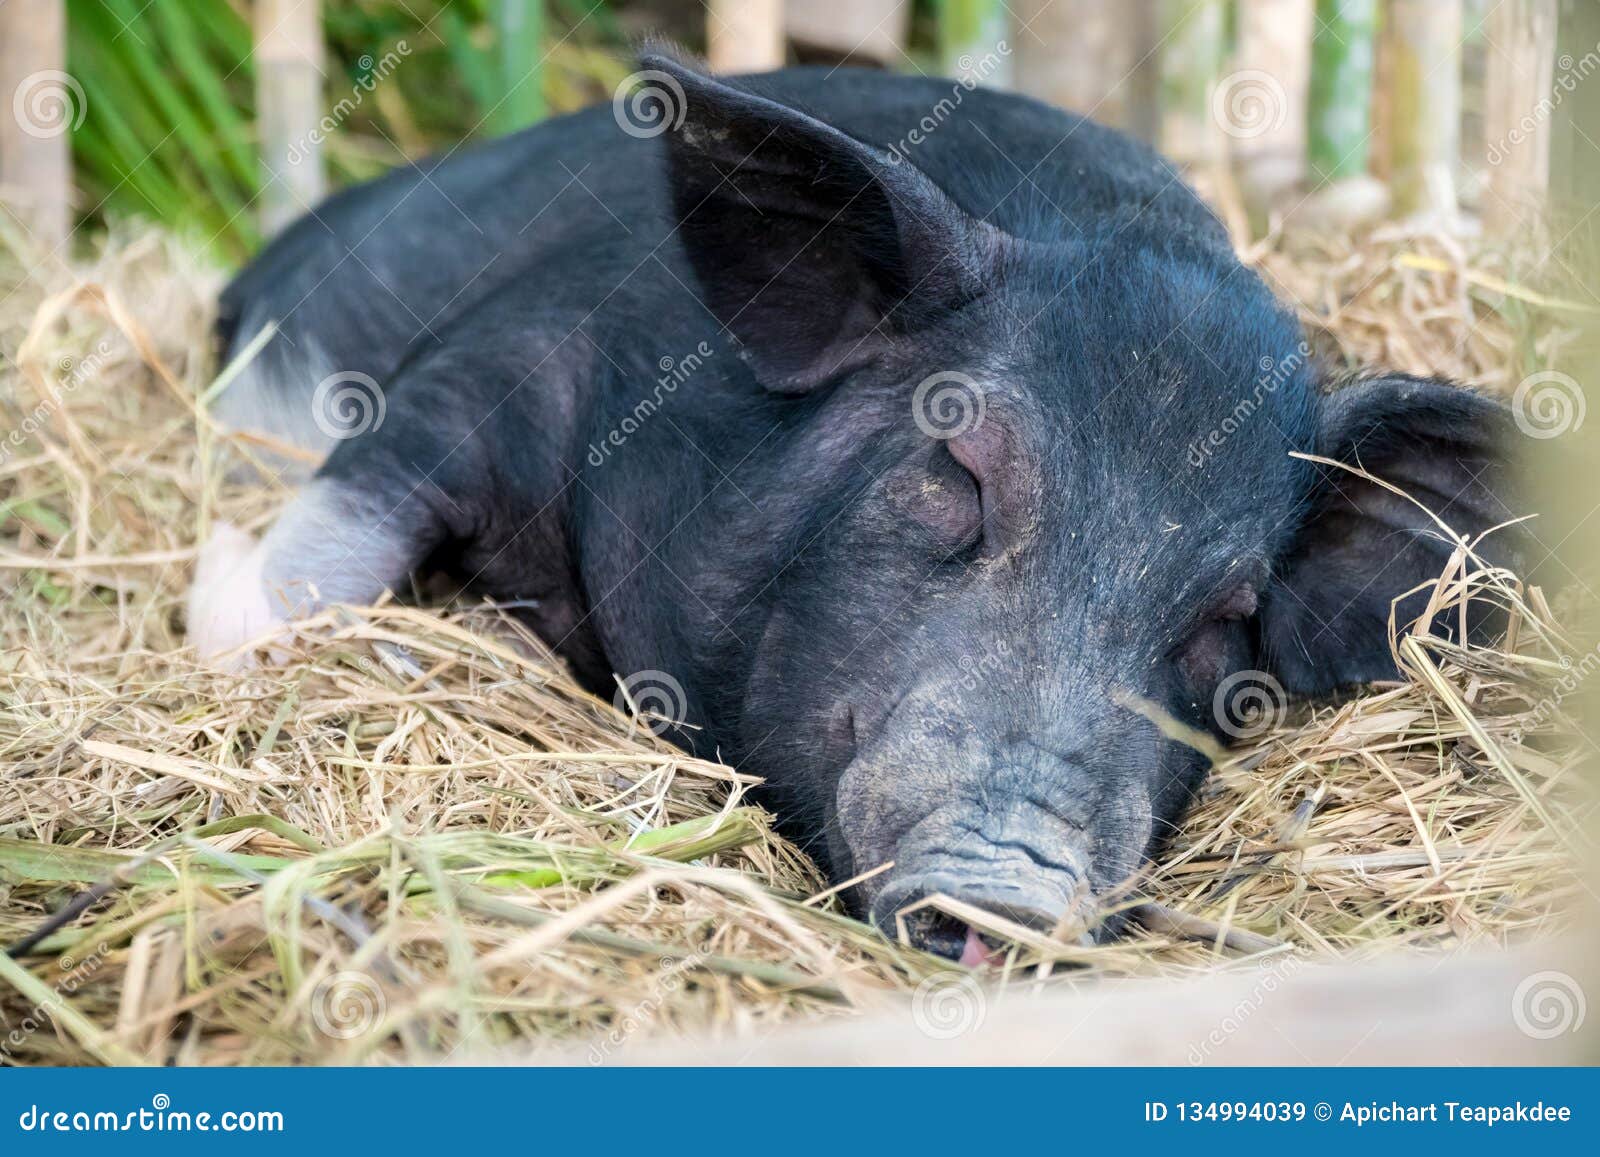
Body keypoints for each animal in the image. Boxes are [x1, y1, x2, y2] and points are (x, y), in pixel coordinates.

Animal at [191, 49, 1530, 961]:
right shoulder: (494, 359)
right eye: (959, 473)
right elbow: (343, 529)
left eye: (1229, 613)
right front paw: (237, 615)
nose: (1007, 888)